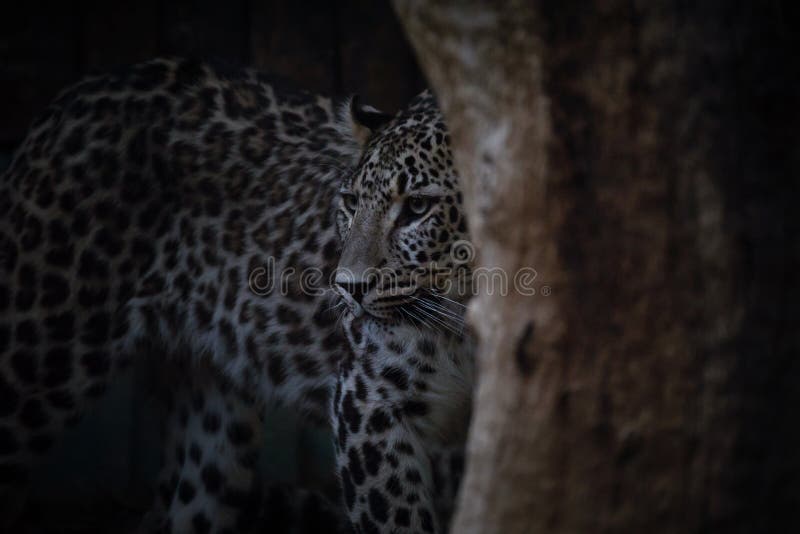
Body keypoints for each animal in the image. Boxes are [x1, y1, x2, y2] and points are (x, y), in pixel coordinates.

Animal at [0, 57, 474, 534]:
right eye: (351, 202)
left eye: (417, 207)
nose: (348, 287)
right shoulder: (368, 403)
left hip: (216, 429)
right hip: (39, 349)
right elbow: (397, 519)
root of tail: (81, 91)